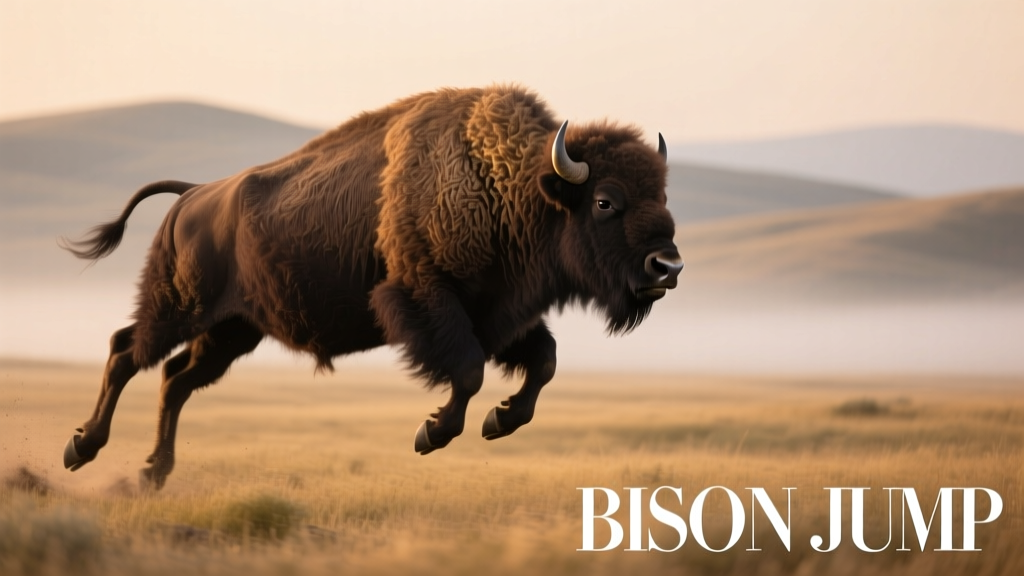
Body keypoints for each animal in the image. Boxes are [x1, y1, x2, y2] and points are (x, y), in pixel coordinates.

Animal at [61, 86, 683, 489]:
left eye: (661, 194)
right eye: (605, 201)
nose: (668, 266)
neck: (513, 186)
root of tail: (192, 195)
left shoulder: (502, 317)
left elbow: (543, 362)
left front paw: (499, 421)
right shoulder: (429, 301)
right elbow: (468, 371)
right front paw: (432, 432)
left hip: (233, 331)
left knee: (175, 379)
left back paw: (153, 472)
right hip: (179, 309)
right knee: (126, 352)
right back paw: (81, 448)